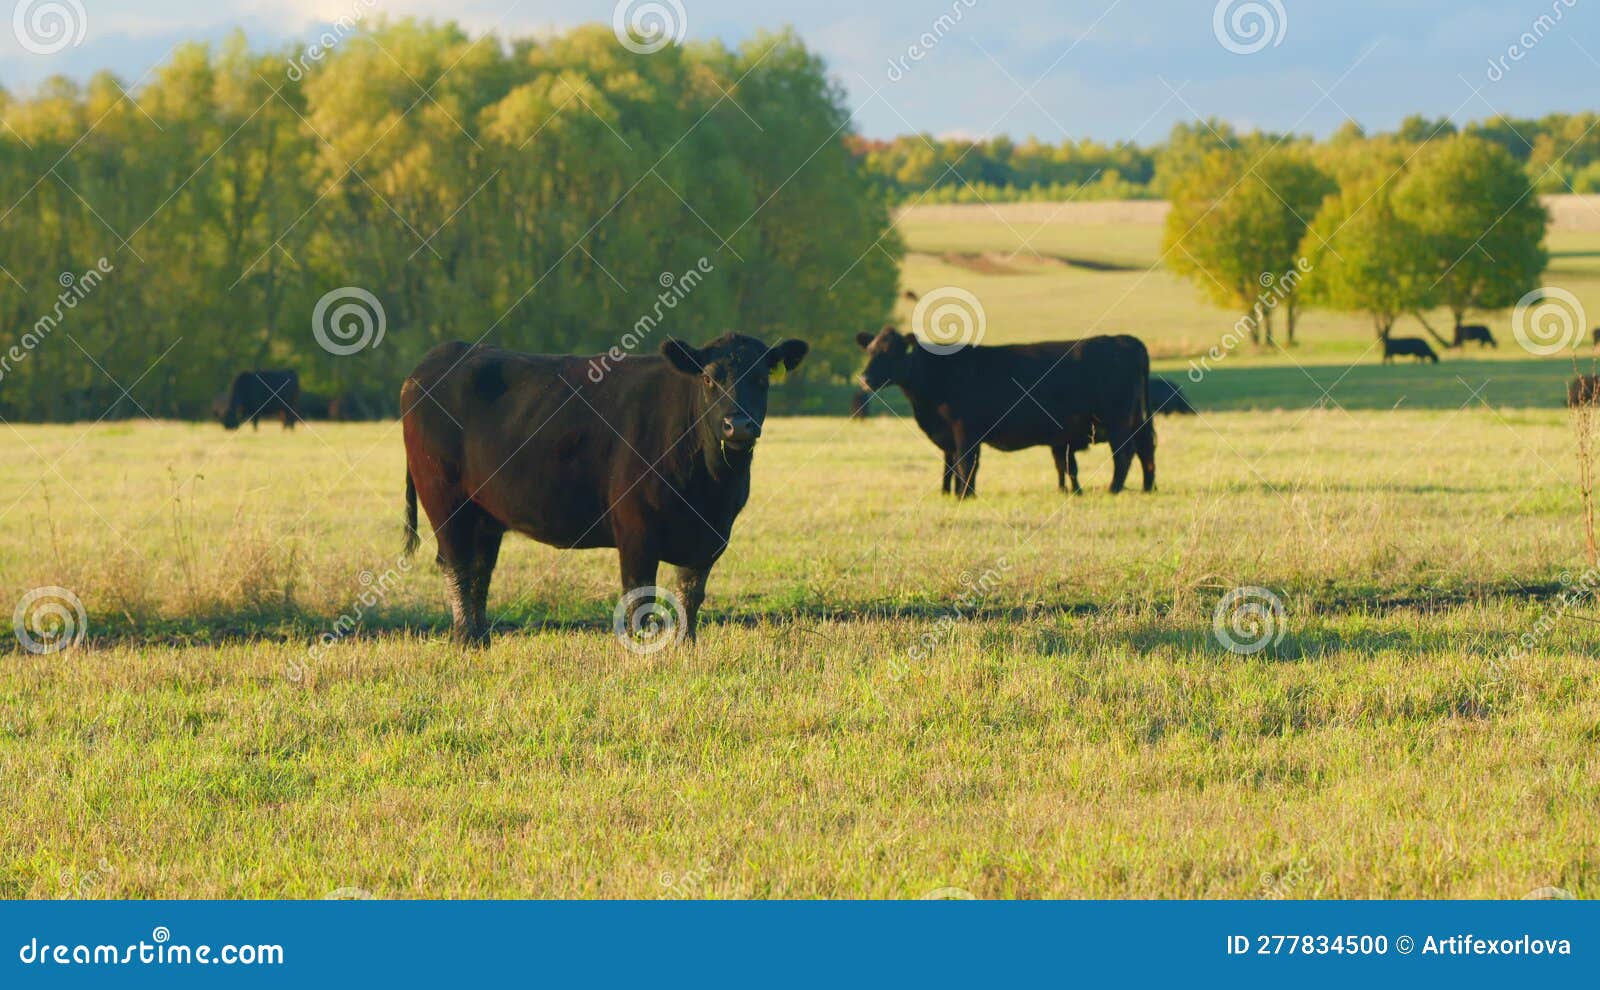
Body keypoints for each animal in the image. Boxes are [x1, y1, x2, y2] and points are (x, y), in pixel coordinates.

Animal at [401, 334, 808, 646]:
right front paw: (641, 649)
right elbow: (638, 596)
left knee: (480, 568)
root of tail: (439, 358)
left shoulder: (711, 536)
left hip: (485, 513)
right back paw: (465, 639)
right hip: (444, 499)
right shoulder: (636, 530)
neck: (711, 484)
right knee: (457, 564)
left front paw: (686, 644)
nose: (737, 424)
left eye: (762, 380)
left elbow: (690, 594)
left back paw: (481, 638)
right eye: (709, 380)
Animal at [856, 326, 1154, 497]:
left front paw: (965, 496)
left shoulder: (965, 431)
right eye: (870, 351)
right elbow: (949, 465)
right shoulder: (948, 435)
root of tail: (1126, 340)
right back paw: (1148, 487)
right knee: (1146, 450)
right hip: (1137, 419)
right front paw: (948, 494)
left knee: (1125, 453)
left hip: (1118, 420)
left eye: (891, 352)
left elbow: (966, 464)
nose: (865, 378)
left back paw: (1114, 489)